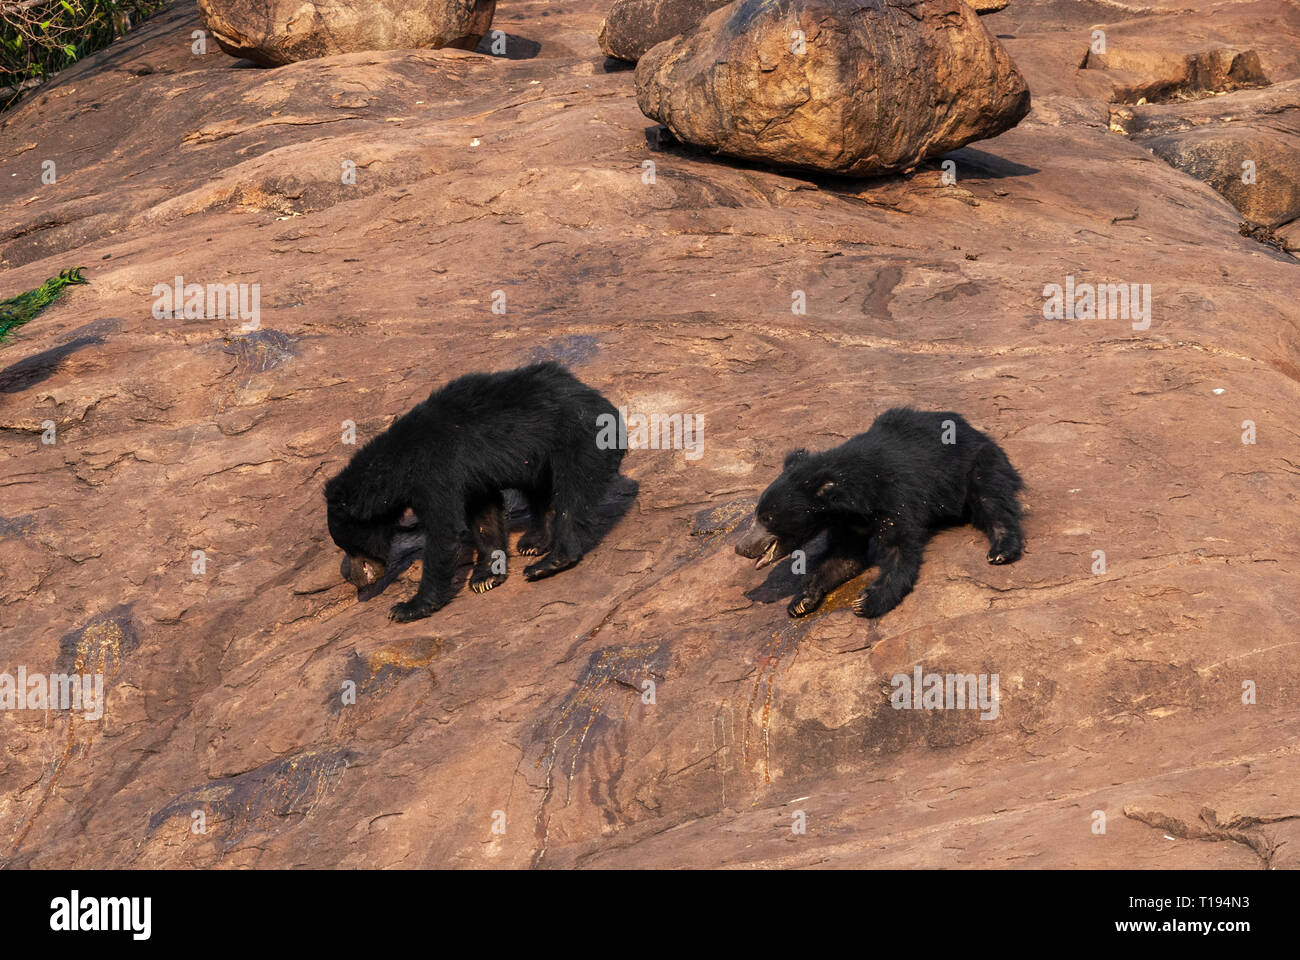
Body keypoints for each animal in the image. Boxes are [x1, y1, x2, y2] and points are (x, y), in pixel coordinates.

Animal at [324, 362, 625, 622]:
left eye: (349, 547)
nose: (356, 583)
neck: (397, 466)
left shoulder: (436, 472)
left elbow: (443, 532)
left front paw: (407, 608)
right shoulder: (472, 478)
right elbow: (484, 516)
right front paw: (485, 577)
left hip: (580, 439)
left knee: (573, 495)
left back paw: (550, 562)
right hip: (537, 459)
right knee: (540, 493)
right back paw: (534, 541)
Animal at [735, 407, 1024, 619]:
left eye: (767, 518)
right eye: (757, 513)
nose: (741, 548)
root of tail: (973, 429)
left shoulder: (896, 495)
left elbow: (899, 549)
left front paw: (867, 602)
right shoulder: (846, 522)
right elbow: (844, 558)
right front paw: (800, 601)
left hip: (975, 464)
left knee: (992, 500)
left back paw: (1001, 550)